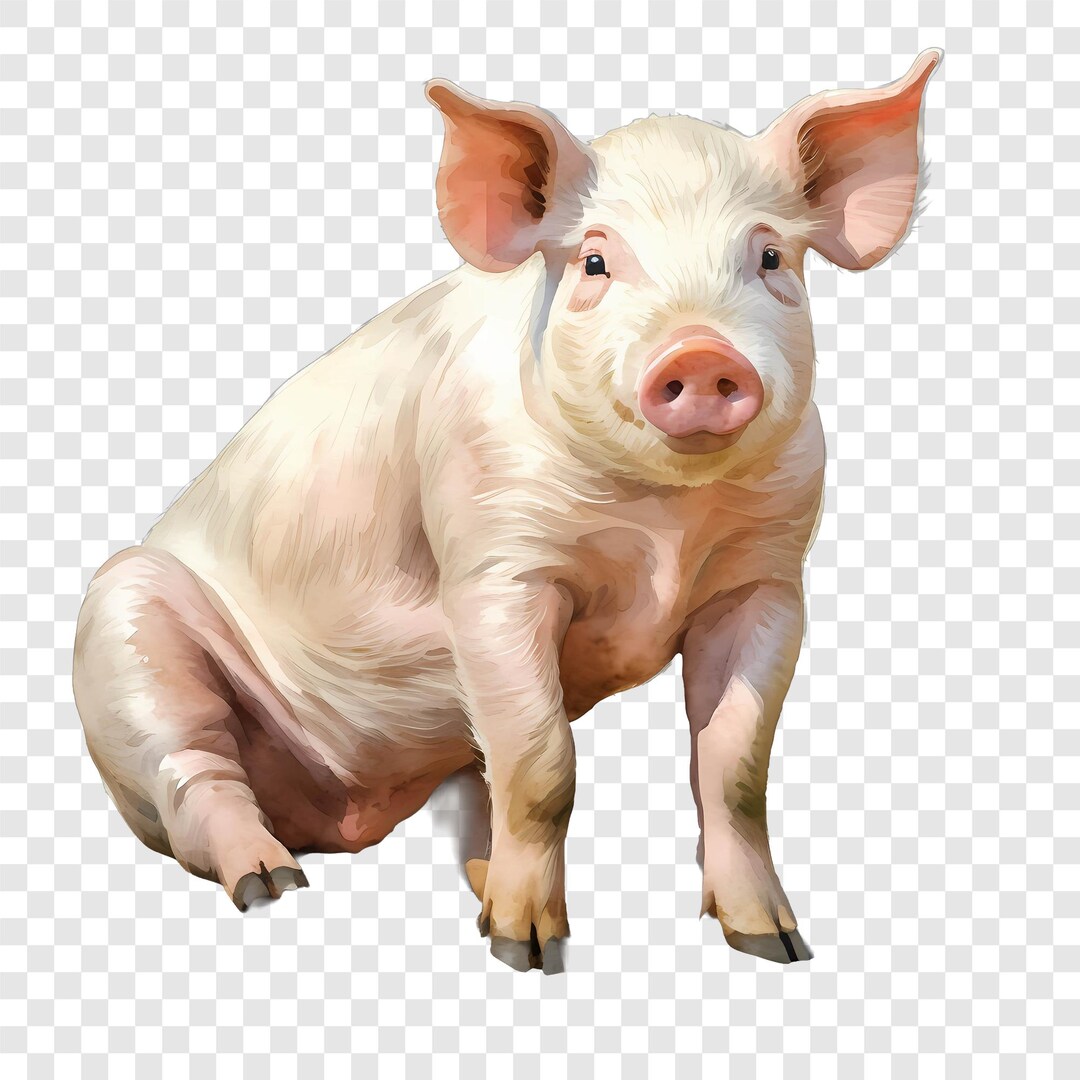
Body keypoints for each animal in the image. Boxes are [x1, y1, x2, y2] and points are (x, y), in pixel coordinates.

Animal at [73, 50, 942, 972]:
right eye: (595, 263)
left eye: (771, 256)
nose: (701, 354)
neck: (662, 524)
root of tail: (334, 827)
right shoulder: (493, 570)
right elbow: (543, 762)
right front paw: (529, 953)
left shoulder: (768, 583)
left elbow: (734, 766)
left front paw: (775, 945)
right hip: (123, 634)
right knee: (196, 773)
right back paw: (273, 884)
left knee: (470, 790)